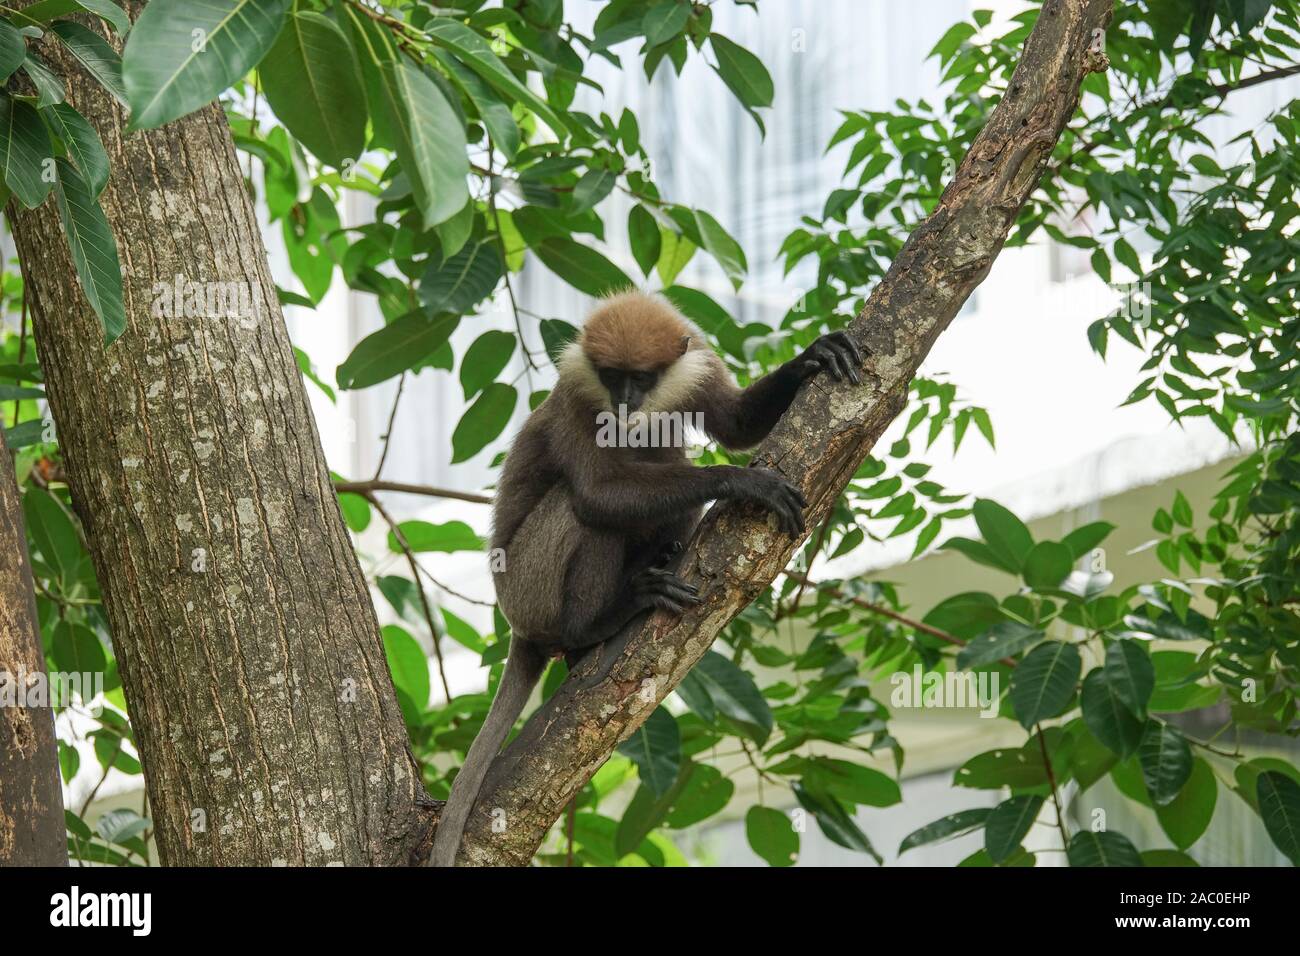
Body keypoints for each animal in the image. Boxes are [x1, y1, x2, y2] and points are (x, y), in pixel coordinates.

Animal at [428, 290, 861, 866]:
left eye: (642, 377)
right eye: (613, 377)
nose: (625, 401)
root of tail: (519, 624)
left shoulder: (697, 359)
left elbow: (737, 425)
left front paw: (813, 355)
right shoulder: (577, 396)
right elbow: (597, 495)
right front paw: (740, 481)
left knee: (665, 454)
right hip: (528, 585)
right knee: (583, 509)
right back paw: (597, 625)